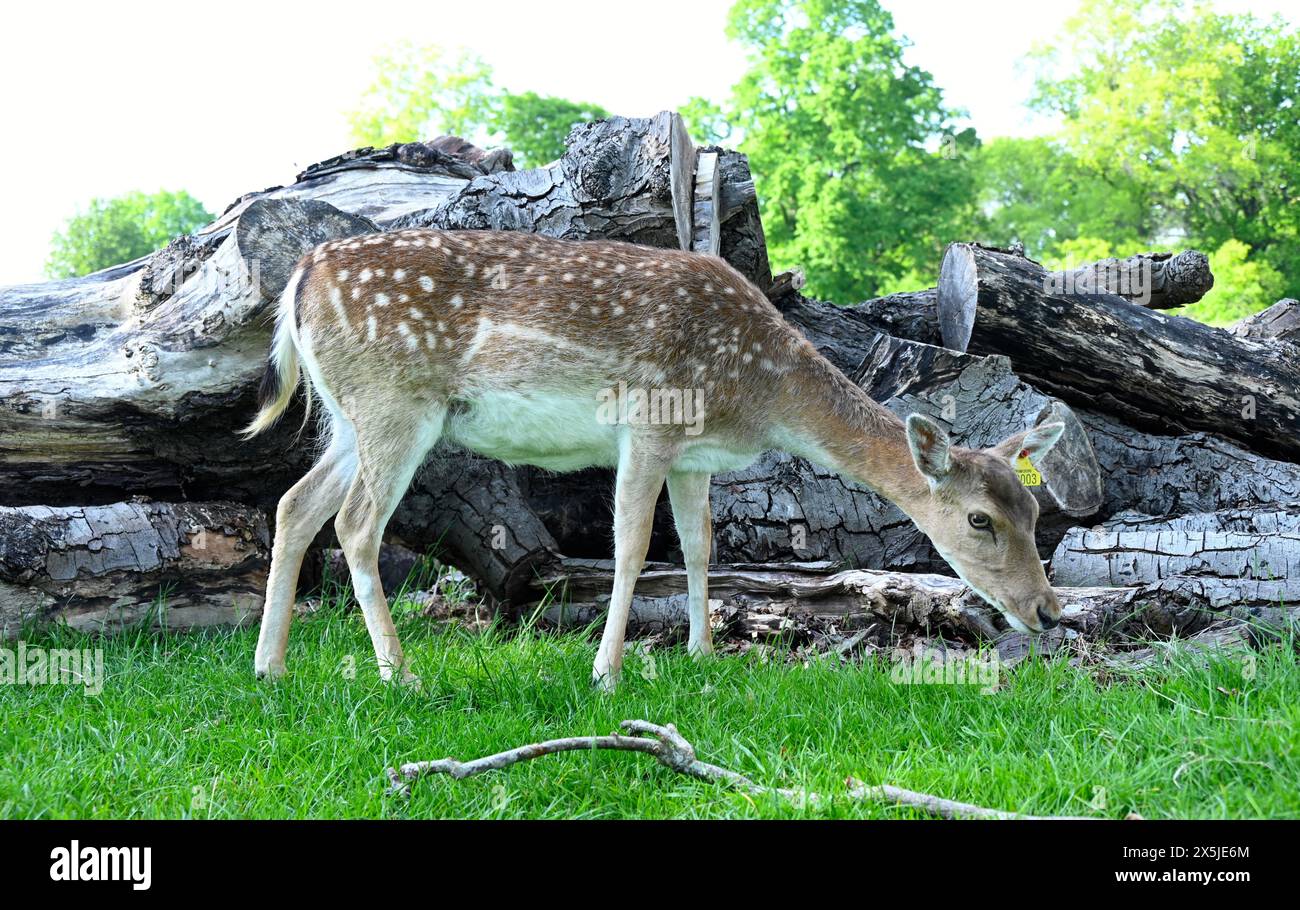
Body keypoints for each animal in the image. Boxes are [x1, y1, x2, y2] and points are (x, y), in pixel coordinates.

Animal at [242, 228, 1065, 689]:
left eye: (1035, 508)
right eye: (980, 520)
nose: (1049, 610)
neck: (757, 394)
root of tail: (300, 276)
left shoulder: (695, 455)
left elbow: (700, 546)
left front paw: (703, 657)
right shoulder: (649, 422)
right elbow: (634, 546)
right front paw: (605, 673)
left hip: (348, 415)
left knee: (294, 504)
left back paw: (270, 666)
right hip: (393, 401)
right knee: (355, 524)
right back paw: (400, 674)